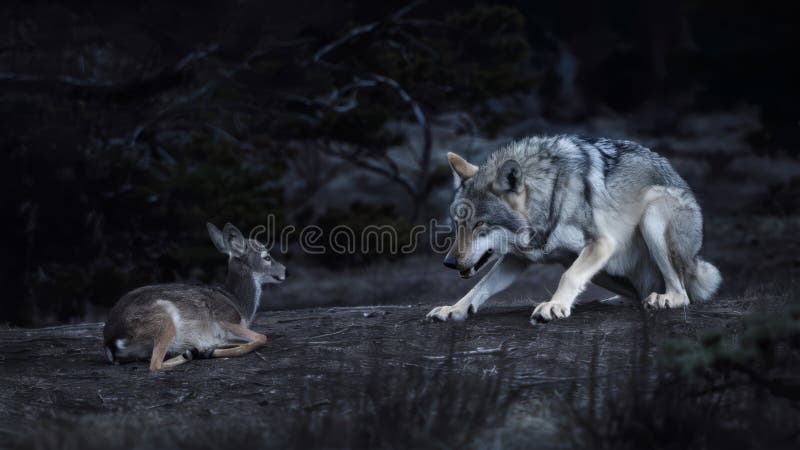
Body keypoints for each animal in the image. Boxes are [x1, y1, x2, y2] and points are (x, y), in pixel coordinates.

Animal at [103, 222, 287, 371]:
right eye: (267, 257)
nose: (285, 270)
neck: (239, 304)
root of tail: (111, 341)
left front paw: (210, 349)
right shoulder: (225, 320)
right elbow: (262, 337)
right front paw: (209, 352)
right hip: (163, 319)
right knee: (155, 365)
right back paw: (190, 354)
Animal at [427, 135, 721, 323]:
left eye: (480, 224)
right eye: (457, 224)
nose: (449, 263)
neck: (550, 194)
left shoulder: (603, 243)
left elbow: (568, 277)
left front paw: (554, 306)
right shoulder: (517, 259)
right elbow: (480, 286)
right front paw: (454, 309)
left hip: (653, 211)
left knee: (682, 293)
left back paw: (664, 299)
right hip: (599, 269)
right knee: (638, 292)